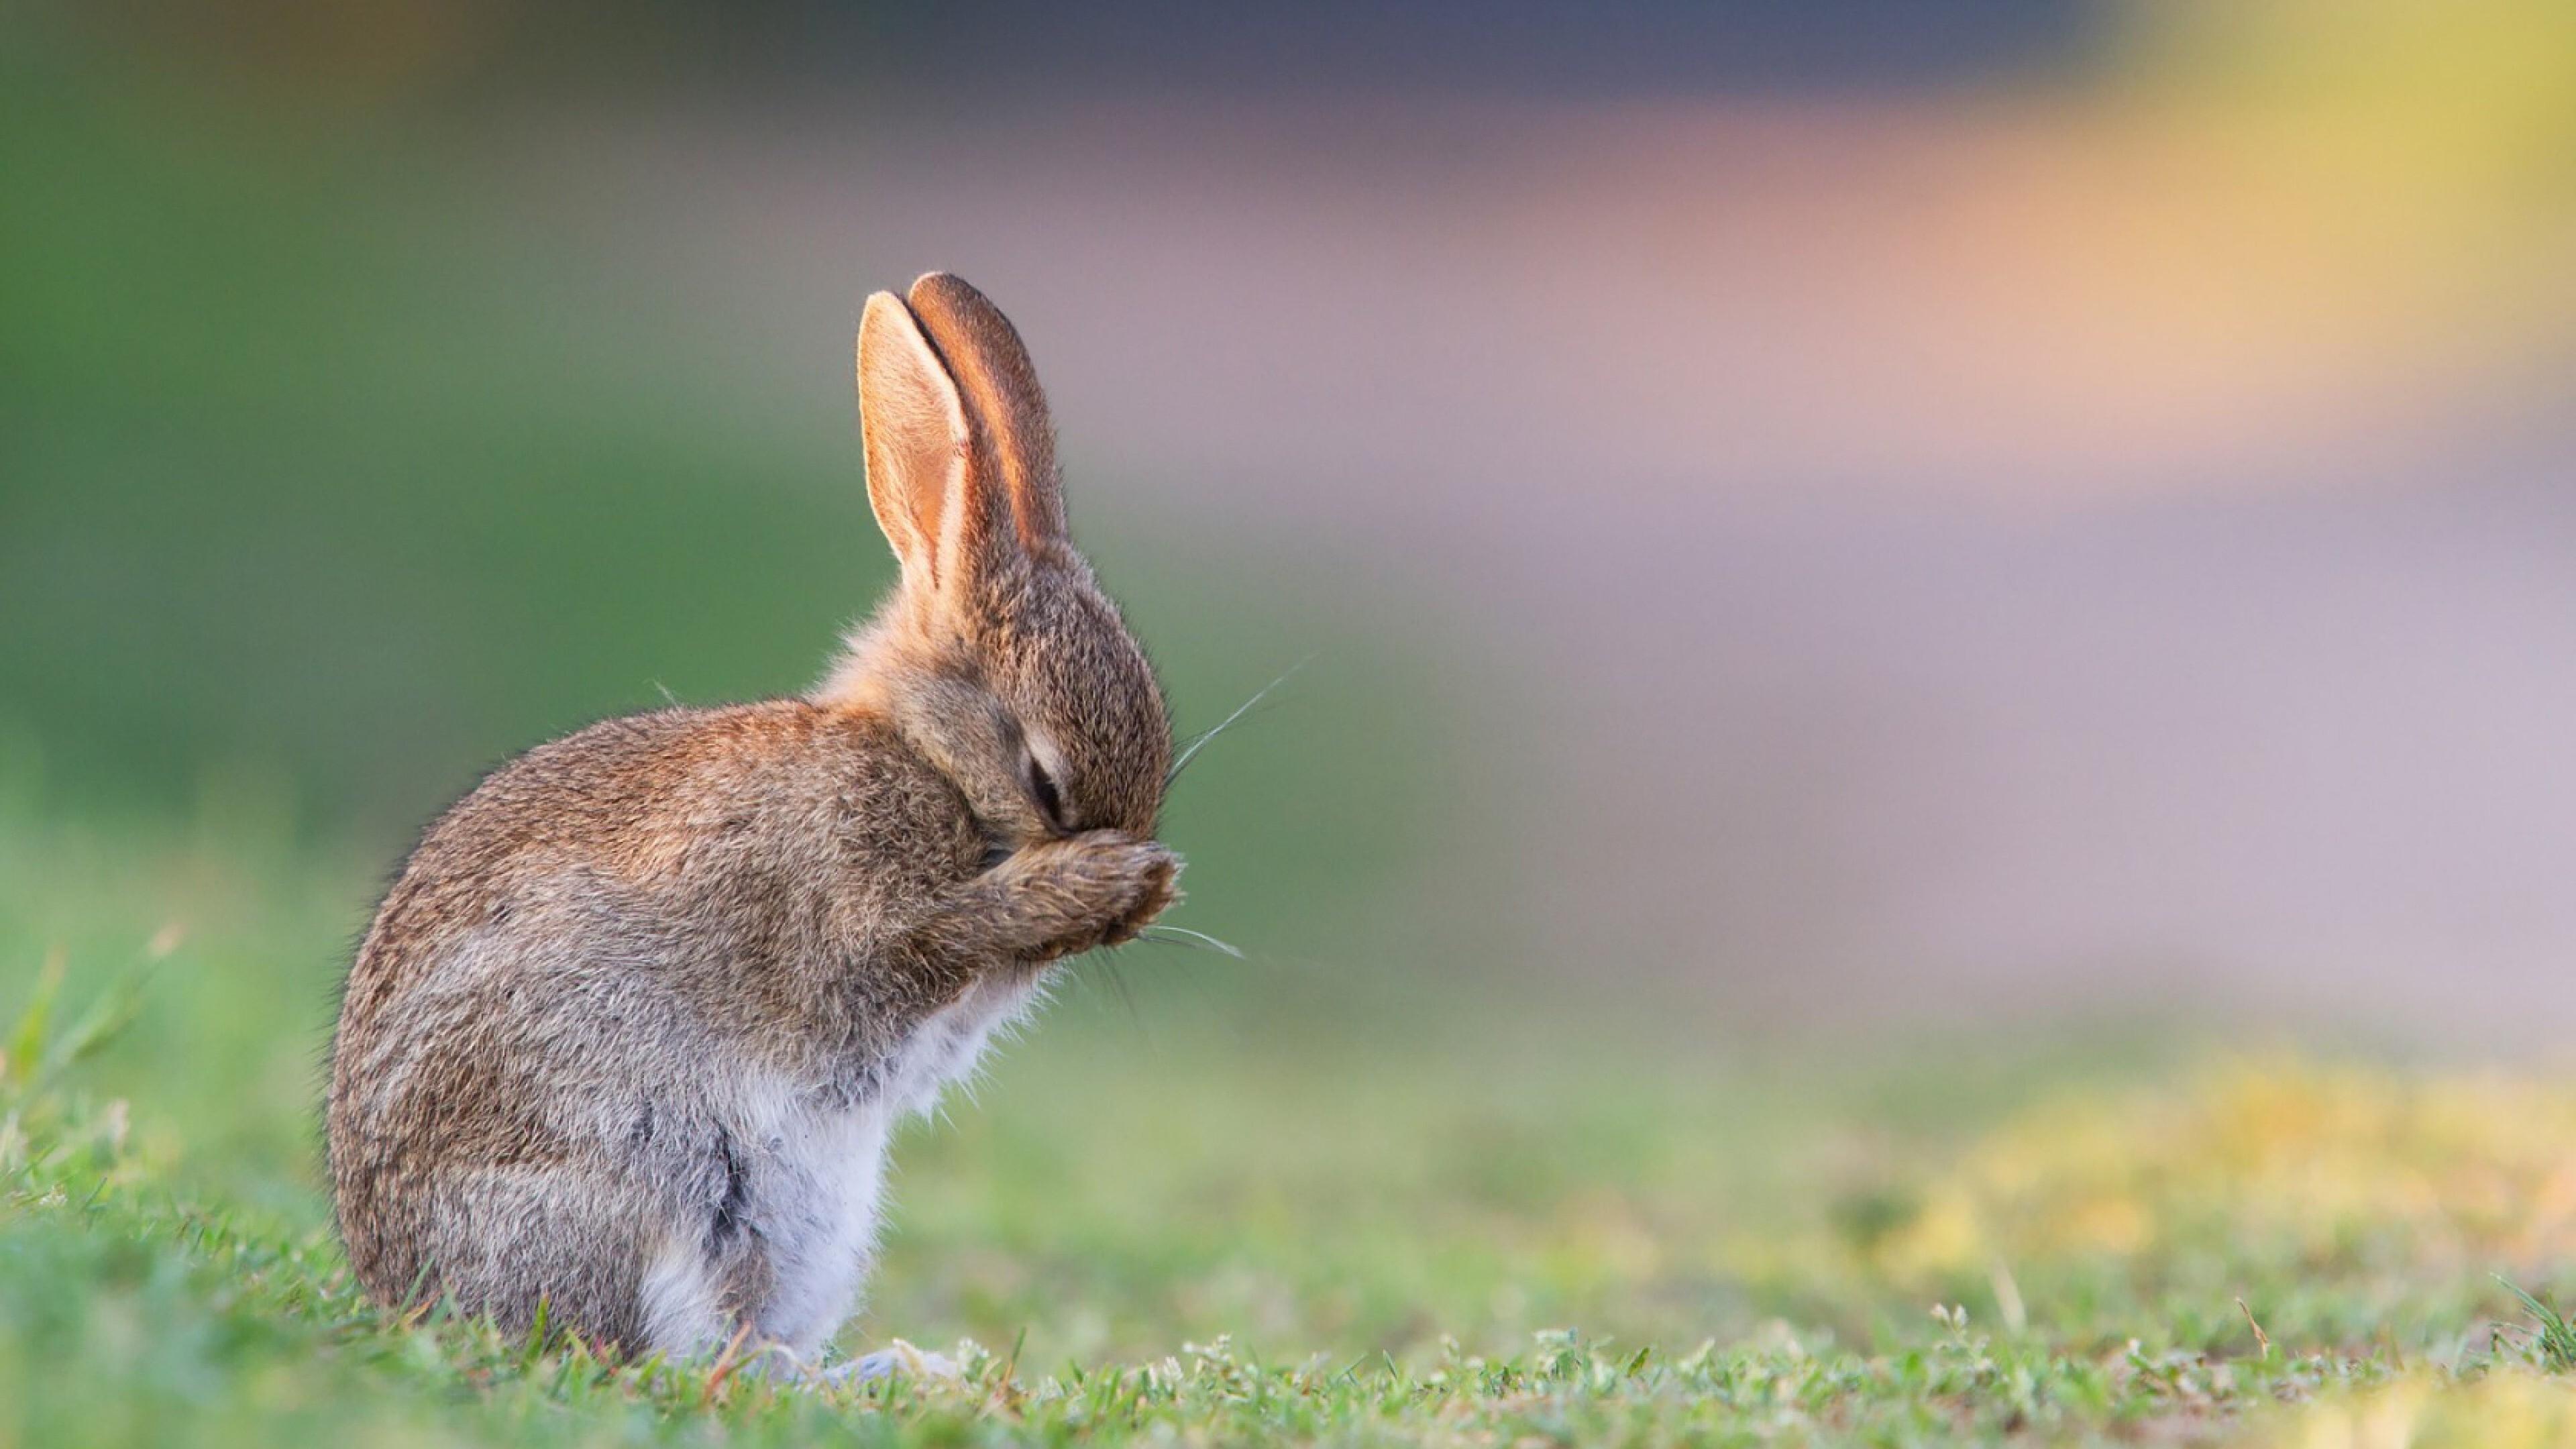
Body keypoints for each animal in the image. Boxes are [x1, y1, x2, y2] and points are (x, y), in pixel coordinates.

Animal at [326, 273, 1178, 1374]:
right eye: (1044, 782)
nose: (1134, 898)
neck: (925, 758)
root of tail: (411, 1298)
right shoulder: (851, 918)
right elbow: (921, 947)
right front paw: (1098, 883)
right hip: (651, 1182)